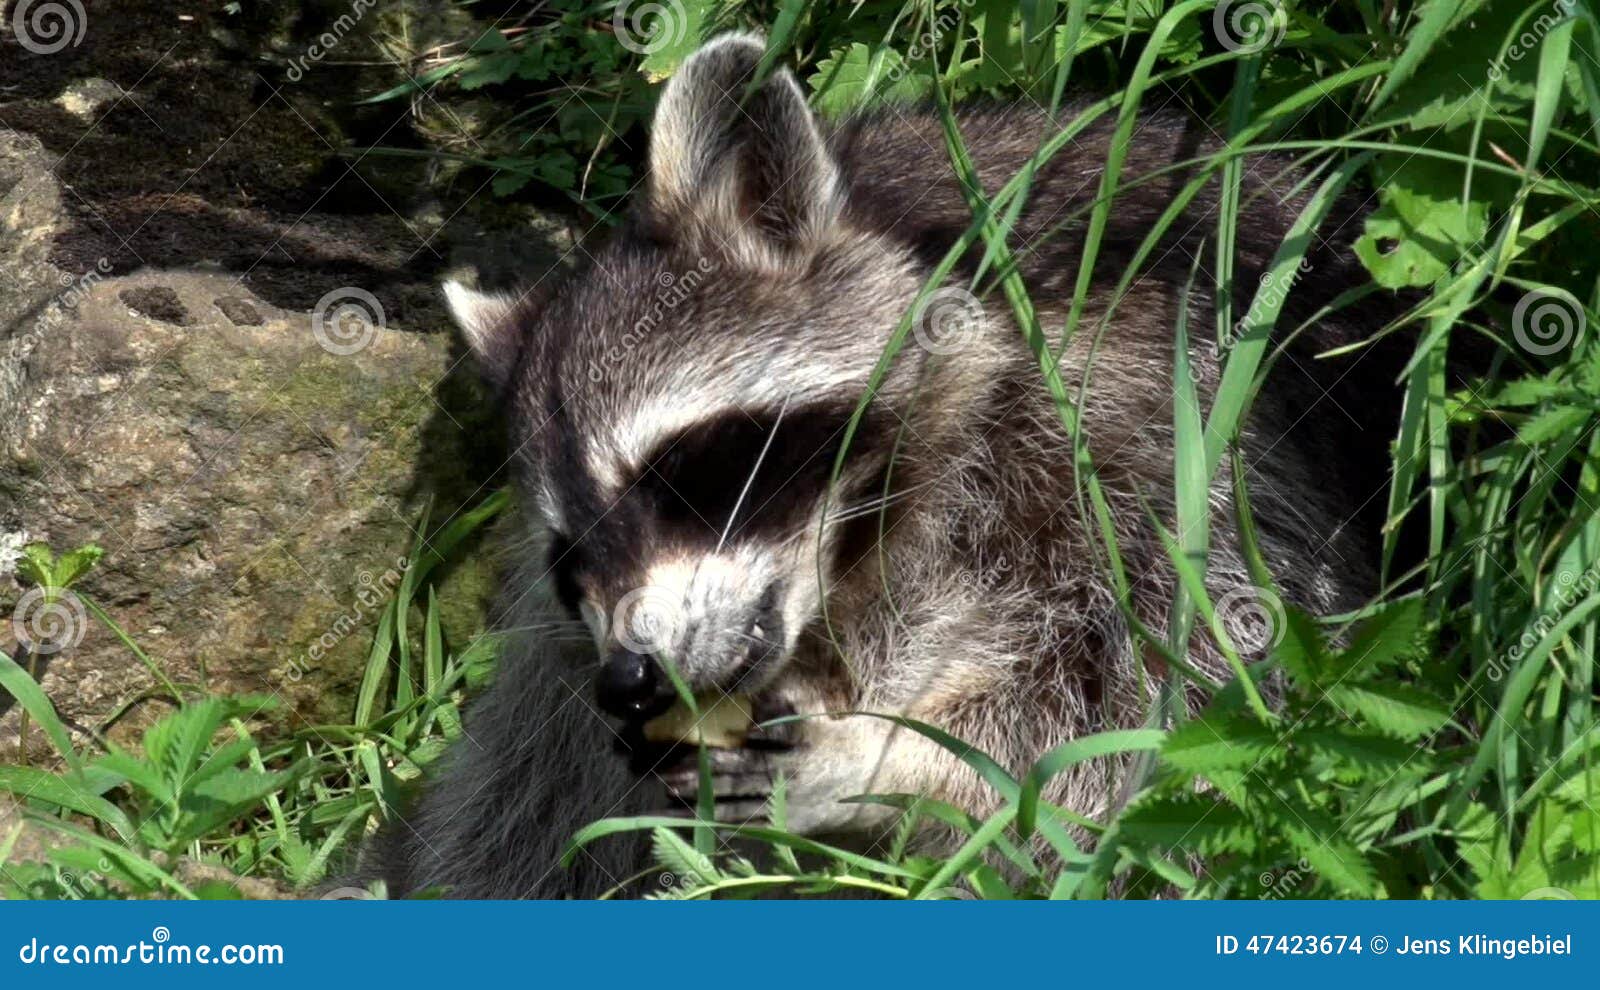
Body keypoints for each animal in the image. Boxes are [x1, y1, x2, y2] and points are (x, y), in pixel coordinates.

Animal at [379, 33, 1401, 898]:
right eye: (568, 560)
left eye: (681, 470)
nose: (628, 679)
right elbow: (530, 796)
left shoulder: (1152, 408)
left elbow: (1169, 690)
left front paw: (888, 757)